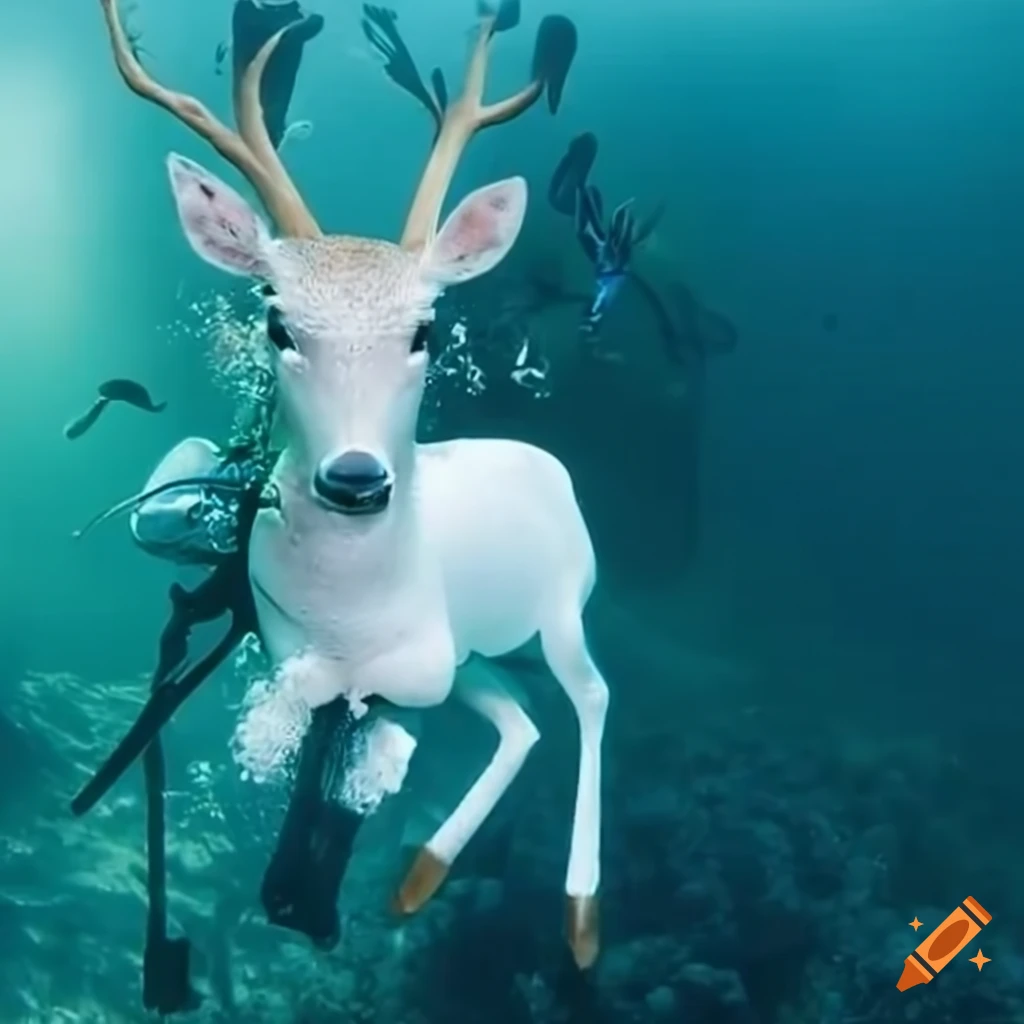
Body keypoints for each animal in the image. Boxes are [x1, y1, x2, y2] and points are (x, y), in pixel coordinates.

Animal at [95, 0, 608, 968]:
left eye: (425, 331)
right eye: (277, 324)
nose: (357, 477)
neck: (350, 603)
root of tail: (553, 465)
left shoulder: (427, 656)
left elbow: (384, 695)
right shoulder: (286, 631)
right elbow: (303, 692)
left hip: (564, 602)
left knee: (588, 696)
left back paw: (581, 914)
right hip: (484, 651)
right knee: (521, 717)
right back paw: (418, 879)